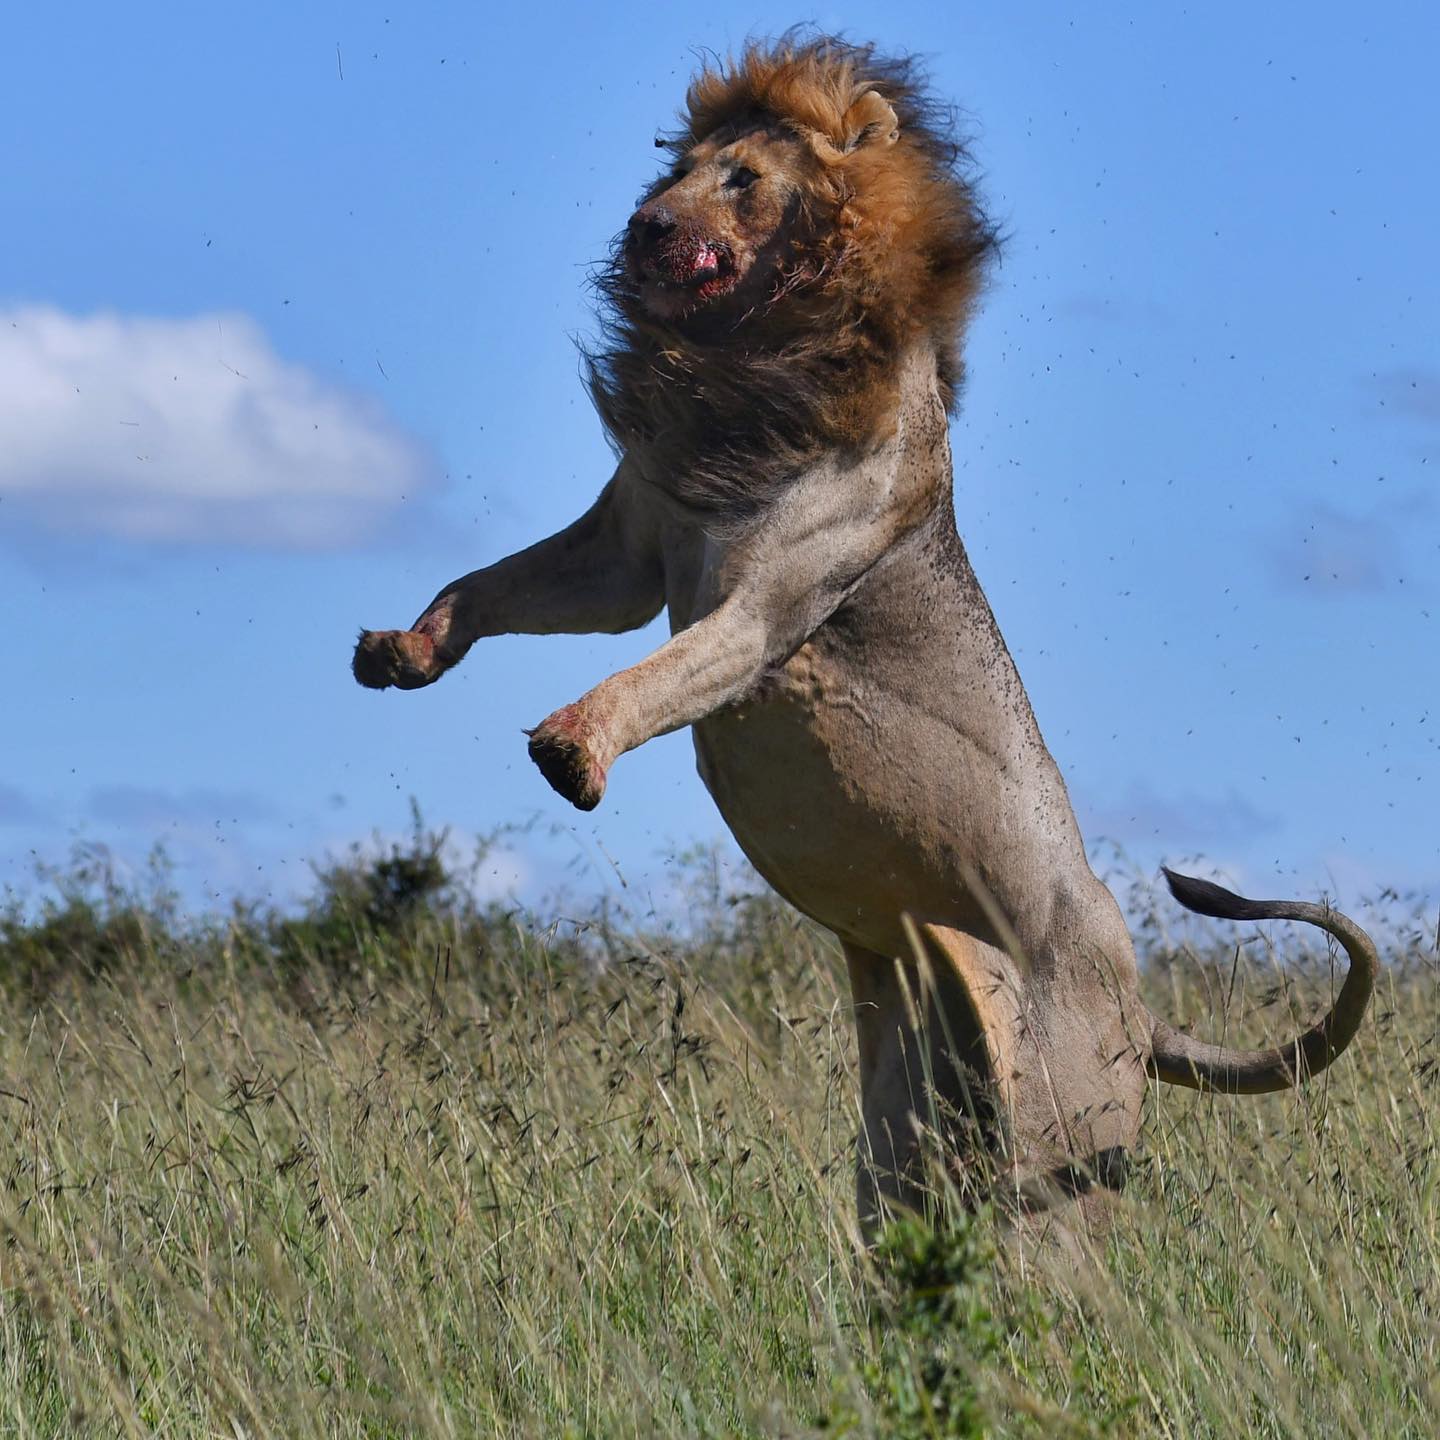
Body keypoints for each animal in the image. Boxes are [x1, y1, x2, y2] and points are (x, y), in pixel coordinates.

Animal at [353, 38, 1376, 1235]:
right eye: (677, 168)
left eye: (743, 178)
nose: (646, 226)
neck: (751, 360)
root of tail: (1142, 1003)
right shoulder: (627, 549)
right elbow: (485, 588)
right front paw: (401, 653)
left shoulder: (762, 613)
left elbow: (659, 675)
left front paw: (572, 747)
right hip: (900, 1144)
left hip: (1053, 1150)